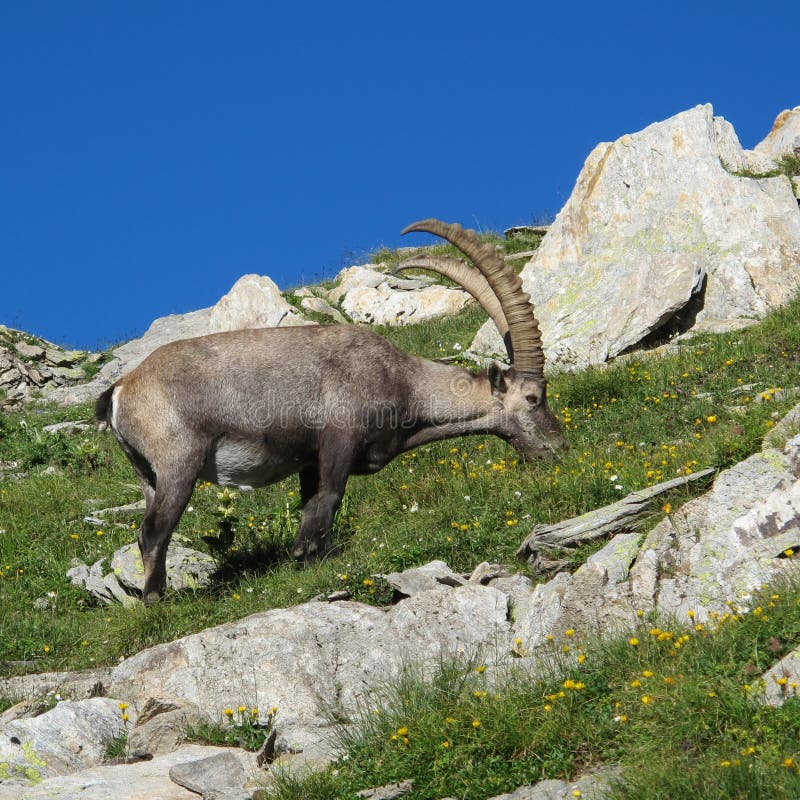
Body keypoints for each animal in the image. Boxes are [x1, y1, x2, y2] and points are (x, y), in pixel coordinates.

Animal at [95, 219, 567, 602]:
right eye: (533, 398)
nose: (558, 447)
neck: (401, 380)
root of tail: (120, 390)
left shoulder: (309, 460)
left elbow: (310, 508)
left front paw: (305, 561)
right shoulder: (338, 442)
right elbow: (328, 502)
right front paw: (310, 558)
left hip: (148, 474)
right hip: (179, 463)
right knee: (153, 533)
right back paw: (156, 602)